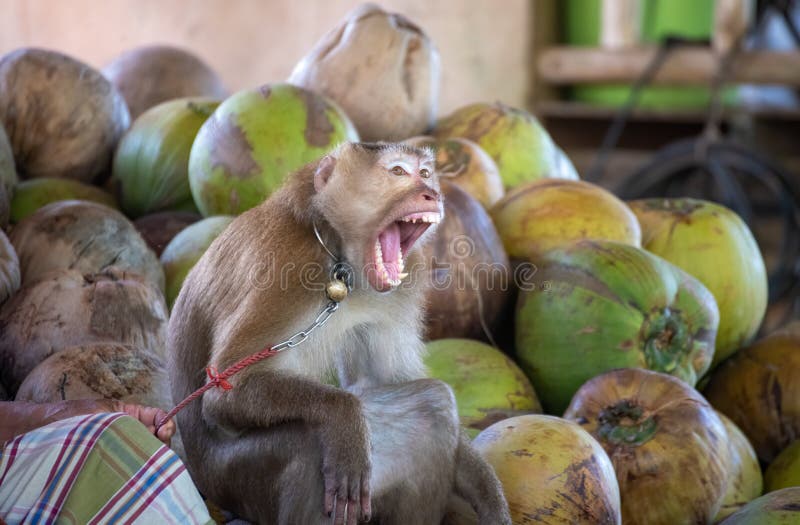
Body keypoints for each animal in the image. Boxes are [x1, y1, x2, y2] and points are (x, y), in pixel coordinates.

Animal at [167, 142, 511, 525]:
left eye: (425, 173)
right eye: (398, 172)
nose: (432, 193)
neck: (337, 251)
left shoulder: (400, 291)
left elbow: (382, 380)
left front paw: (487, 491)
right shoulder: (287, 268)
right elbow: (226, 388)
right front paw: (343, 418)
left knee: (431, 408)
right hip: (234, 479)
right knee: (306, 446)